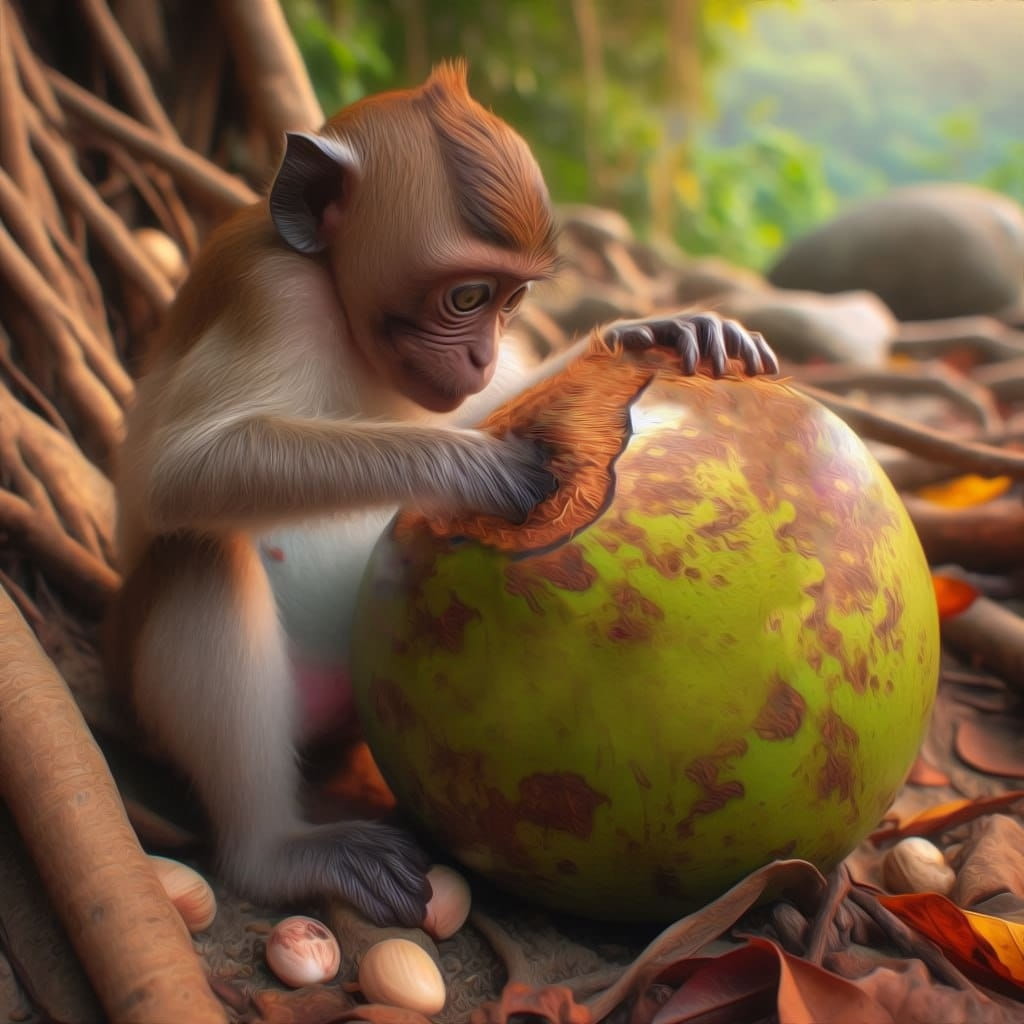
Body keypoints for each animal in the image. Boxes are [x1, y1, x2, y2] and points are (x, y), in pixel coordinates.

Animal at [108, 61, 779, 929]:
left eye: (512, 301)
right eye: (466, 297)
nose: (482, 355)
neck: (338, 304)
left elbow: (494, 406)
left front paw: (648, 331)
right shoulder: (269, 289)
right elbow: (182, 470)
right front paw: (480, 467)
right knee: (199, 549)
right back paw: (275, 850)